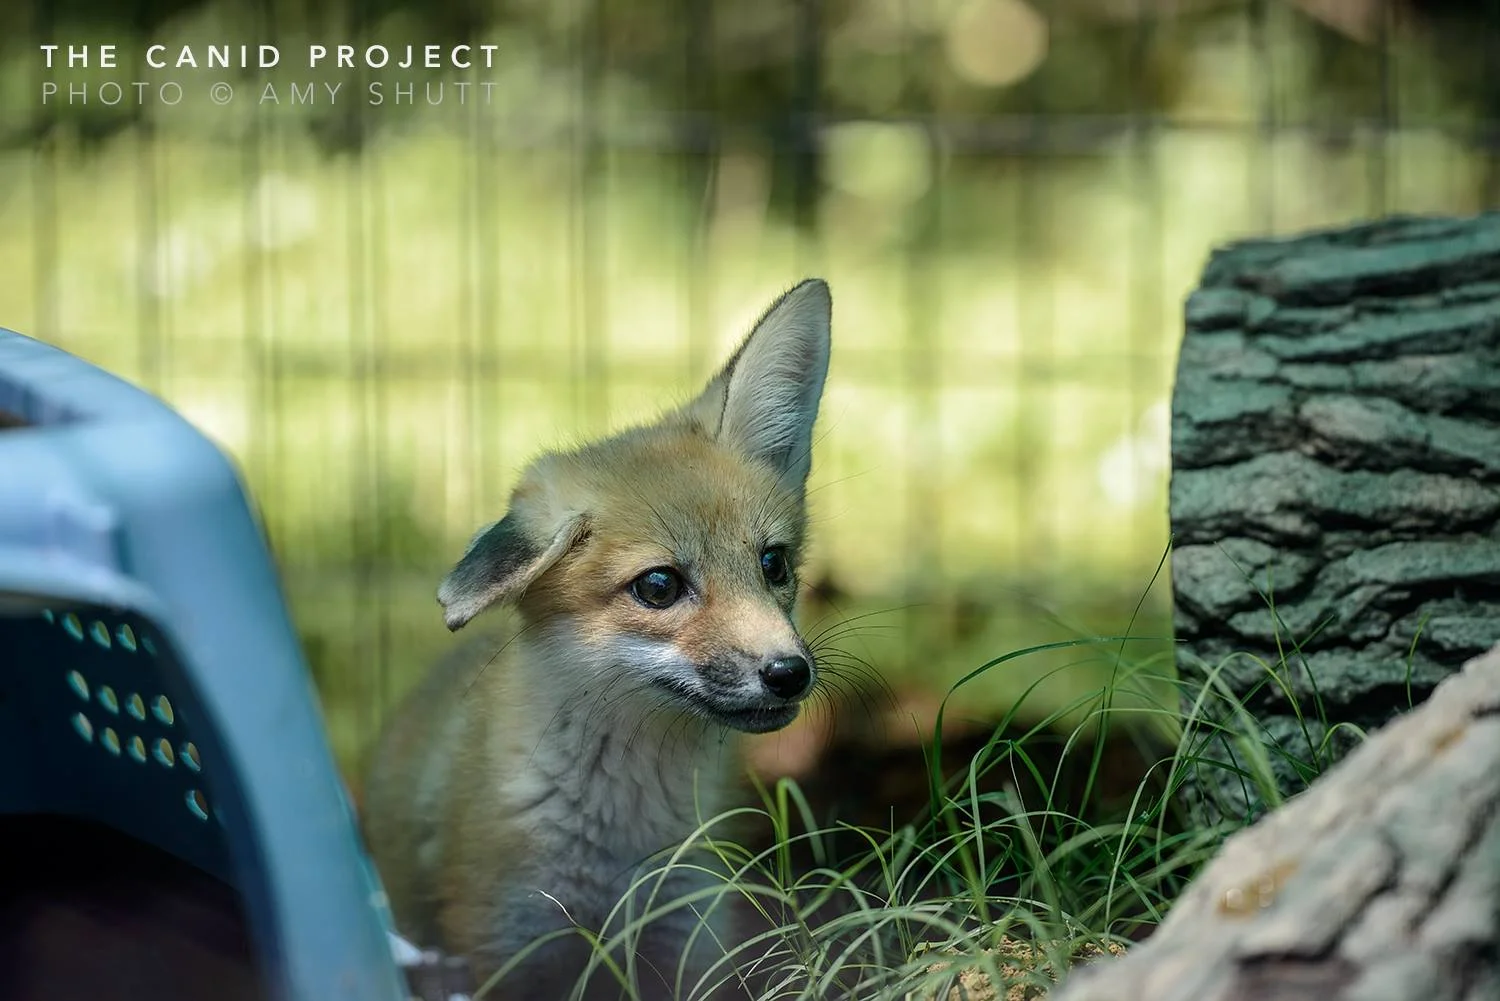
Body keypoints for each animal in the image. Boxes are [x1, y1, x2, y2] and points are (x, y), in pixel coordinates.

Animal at [360, 278, 834, 1001]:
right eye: (659, 585)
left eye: (773, 564)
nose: (789, 673)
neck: (619, 861)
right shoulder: (508, 950)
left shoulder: (688, 939)